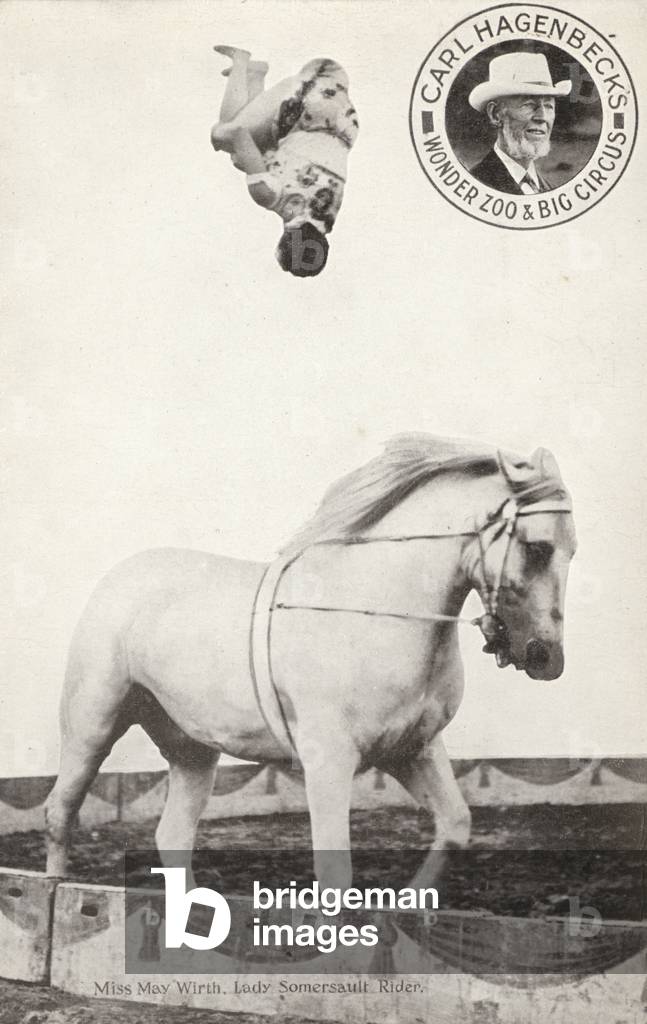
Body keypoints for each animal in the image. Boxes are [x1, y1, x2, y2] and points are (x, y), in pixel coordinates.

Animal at [45, 434, 576, 889]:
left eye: (572, 550)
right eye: (537, 547)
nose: (546, 658)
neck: (373, 611)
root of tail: (118, 577)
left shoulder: (413, 749)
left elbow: (455, 825)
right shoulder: (329, 761)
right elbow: (335, 876)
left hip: (192, 749)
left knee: (172, 836)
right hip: (93, 727)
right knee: (59, 813)